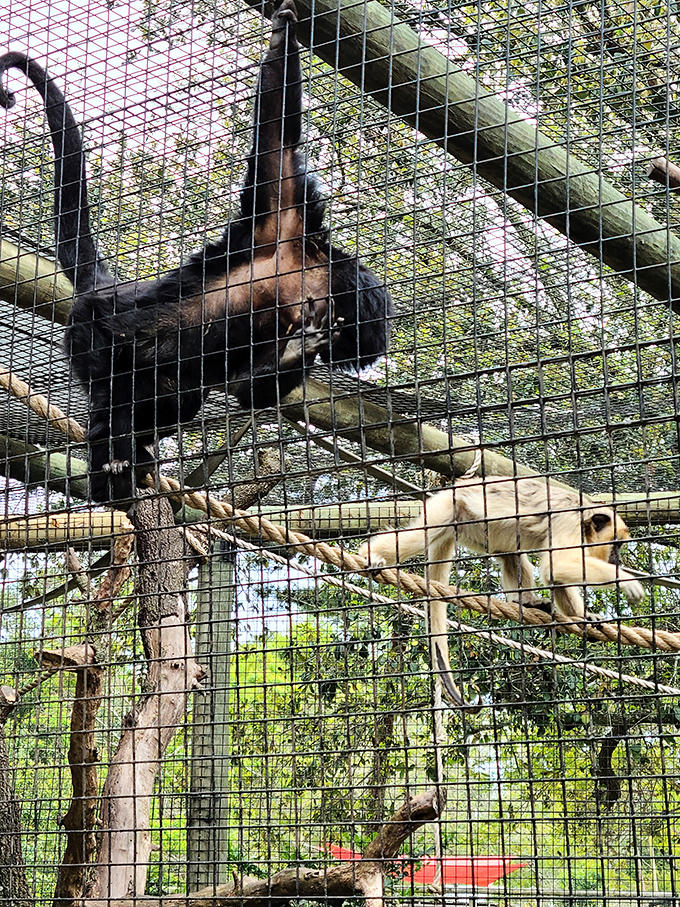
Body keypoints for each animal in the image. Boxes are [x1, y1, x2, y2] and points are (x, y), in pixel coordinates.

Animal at [0, 0, 393, 503]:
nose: (350, 354)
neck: (310, 282)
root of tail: (108, 289)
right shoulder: (284, 231)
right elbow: (276, 146)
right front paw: (282, 34)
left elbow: (246, 389)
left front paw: (295, 356)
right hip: (91, 329)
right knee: (112, 386)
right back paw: (113, 458)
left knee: (177, 398)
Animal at [359, 476, 644, 705]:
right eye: (617, 545)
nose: (617, 560)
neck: (583, 514)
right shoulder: (567, 519)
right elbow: (556, 565)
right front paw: (624, 579)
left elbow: (556, 575)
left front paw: (584, 617)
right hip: (449, 508)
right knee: (419, 536)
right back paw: (370, 554)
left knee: (511, 555)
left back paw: (528, 602)